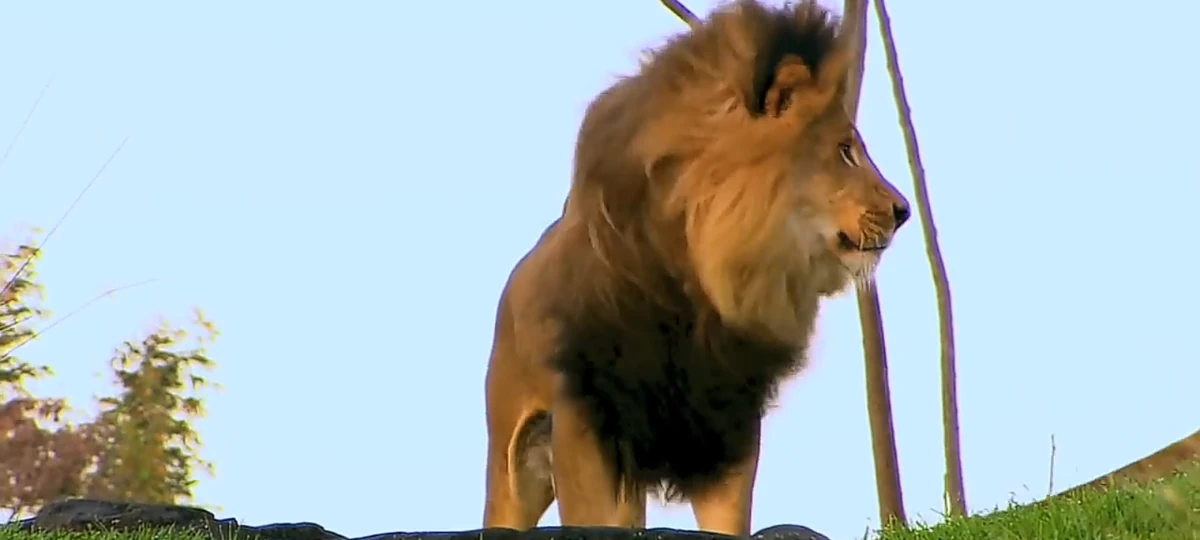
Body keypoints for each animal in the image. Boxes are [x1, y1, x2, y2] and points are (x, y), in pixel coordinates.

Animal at [481, 0, 911, 536]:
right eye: (845, 151)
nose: (903, 211)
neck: (701, 282)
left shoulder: (727, 419)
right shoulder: (588, 415)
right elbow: (590, 516)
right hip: (513, 455)